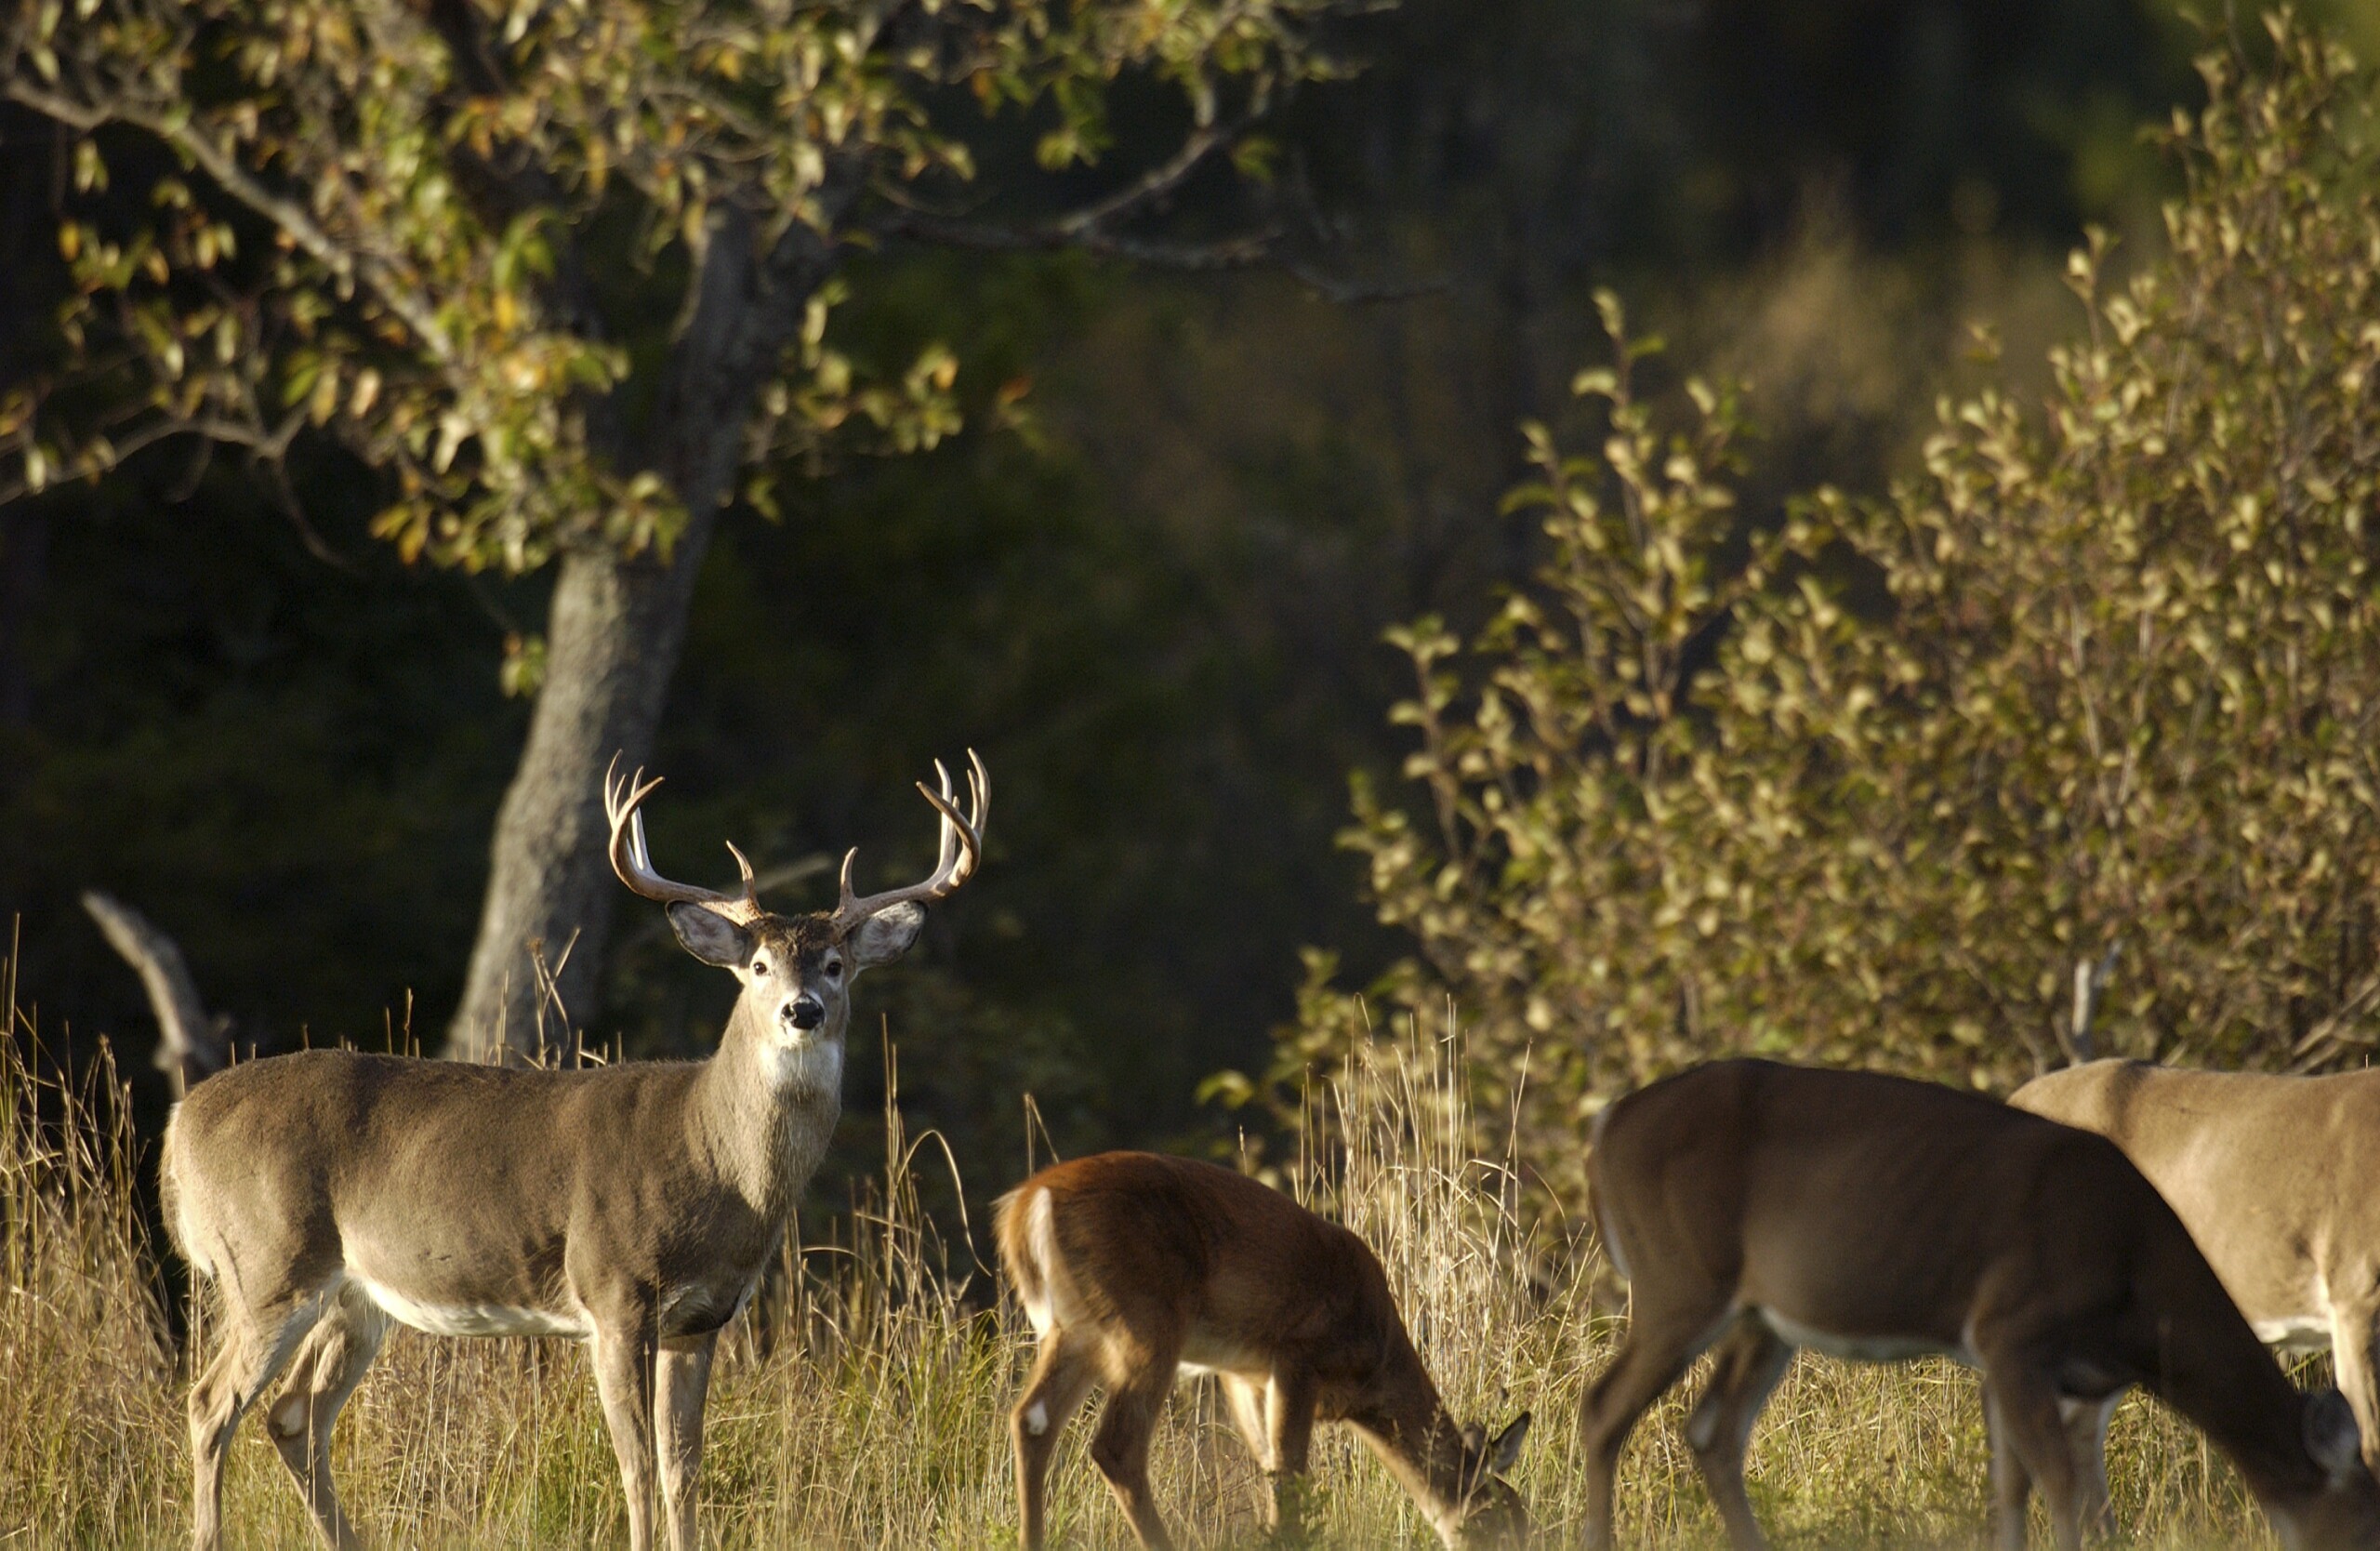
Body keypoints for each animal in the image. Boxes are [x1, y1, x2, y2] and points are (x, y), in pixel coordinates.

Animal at [160, 752, 986, 1551]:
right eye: (758, 968)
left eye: (836, 966)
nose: (801, 1010)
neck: (713, 1159)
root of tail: (178, 1123)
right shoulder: (614, 1292)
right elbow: (636, 1466)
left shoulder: (703, 1318)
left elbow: (684, 1469)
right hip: (268, 1261)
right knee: (209, 1404)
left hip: (355, 1297)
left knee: (292, 1416)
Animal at [994, 1150, 1532, 1551]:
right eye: (1502, 1521)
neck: (1376, 1364)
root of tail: (1028, 1204)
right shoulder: (1299, 1354)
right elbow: (1289, 1485)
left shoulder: (1243, 1374)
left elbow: (1273, 1473)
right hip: (1147, 1321)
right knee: (1116, 1445)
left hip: (1074, 1331)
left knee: (1031, 1420)